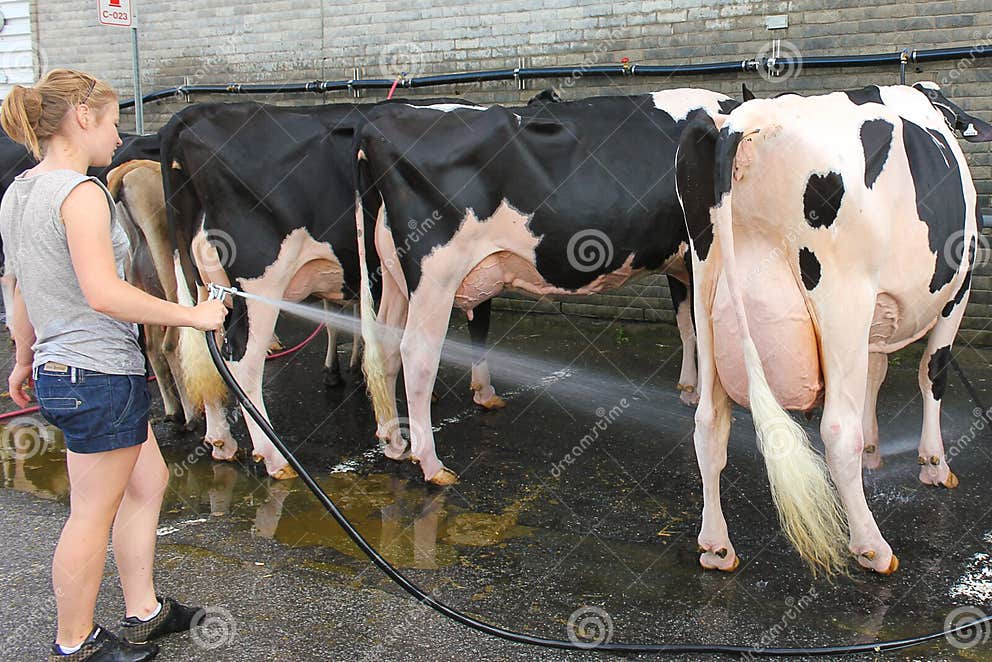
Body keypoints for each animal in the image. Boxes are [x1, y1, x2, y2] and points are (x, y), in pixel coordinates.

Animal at [353, 88, 741, 486]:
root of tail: (375, 124)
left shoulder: (680, 261)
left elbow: (686, 325)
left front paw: (689, 389)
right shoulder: (698, 254)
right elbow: (701, 331)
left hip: (395, 274)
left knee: (385, 347)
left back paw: (395, 443)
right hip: (435, 275)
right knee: (417, 355)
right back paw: (432, 465)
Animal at [674, 82, 991, 576]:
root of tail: (747, 117)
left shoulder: (879, 313)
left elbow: (876, 373)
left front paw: (875, 452)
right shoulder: (957, 292)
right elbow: (932, 374)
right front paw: (934, 463)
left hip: (706, 287)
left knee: (708, 422)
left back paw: (716, 545)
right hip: (842, 298)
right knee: (838, 431)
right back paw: (872, 547)